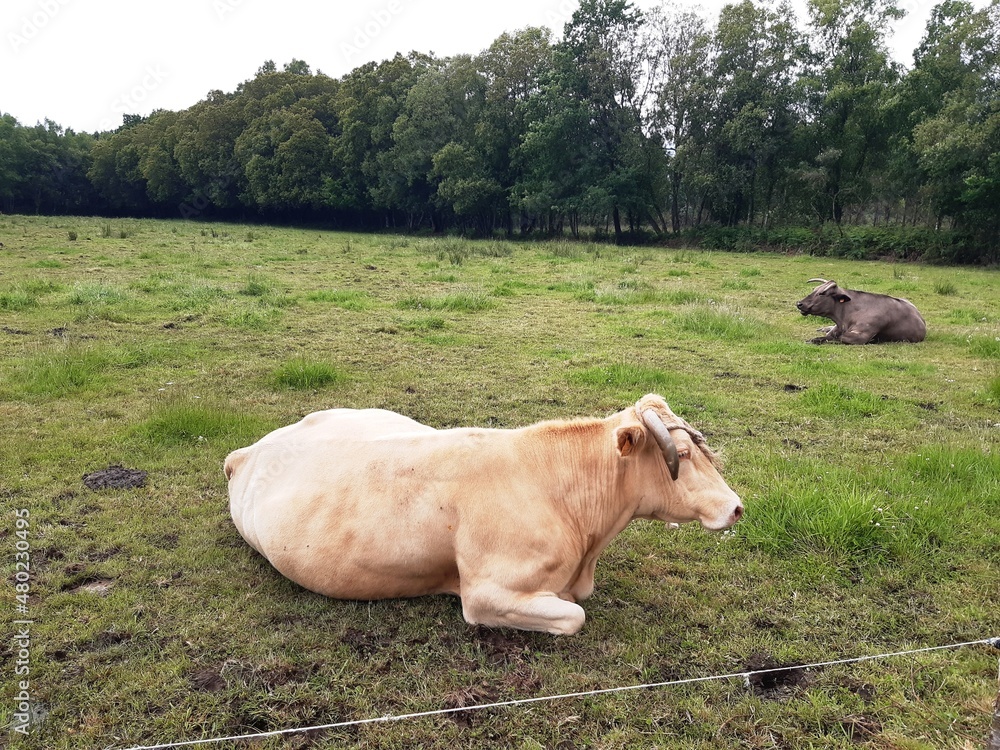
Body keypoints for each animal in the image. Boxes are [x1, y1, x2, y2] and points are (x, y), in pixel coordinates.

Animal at [795, 278, 927, 344]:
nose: (799, 303)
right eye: (814, 289)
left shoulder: (861, 336)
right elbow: (828, 336)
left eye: (822, 293)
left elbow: (838, 338)